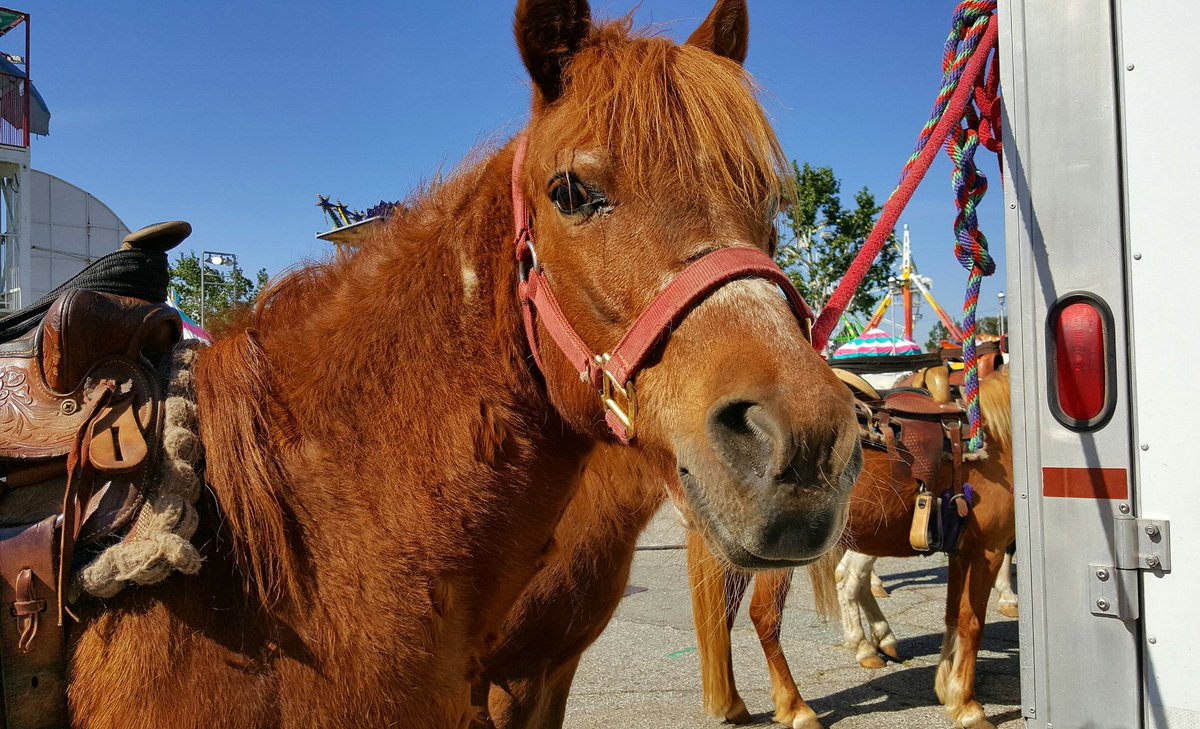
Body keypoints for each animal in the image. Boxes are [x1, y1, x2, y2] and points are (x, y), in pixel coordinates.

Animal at [690, 370, 1014, 729]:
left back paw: (733, 703)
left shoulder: (961, 551)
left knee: (724, 615)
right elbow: (972, 622)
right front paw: (967, 706)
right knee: (764, 616)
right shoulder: (988, 550)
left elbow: (953, 616)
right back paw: (796, 707)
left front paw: (946, 689)